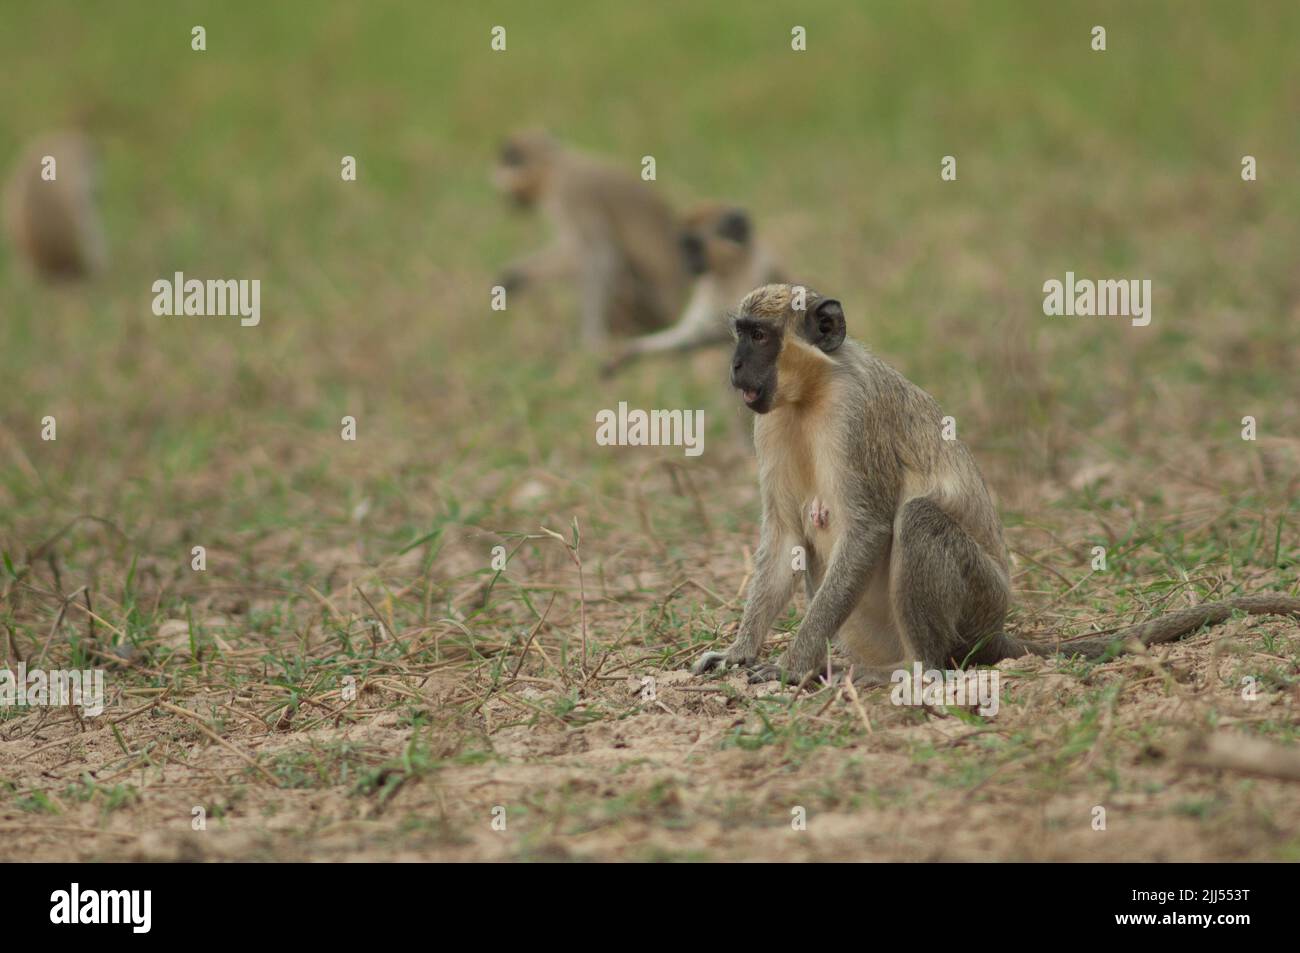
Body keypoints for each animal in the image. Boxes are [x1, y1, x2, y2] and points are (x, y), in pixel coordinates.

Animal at [493, 130, 688, 348]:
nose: (510, 206)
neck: (555, 167)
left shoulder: (571, 194)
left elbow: (601, 256)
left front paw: (591, 337)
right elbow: (572, 252)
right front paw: (518, 275)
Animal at [600, 203, 784, 376]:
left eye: (694, 246)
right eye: (685, 247)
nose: (687, 261)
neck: (728, 272)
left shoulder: (761, 274)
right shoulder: (705, 287)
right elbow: (690, 335)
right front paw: (628, 352)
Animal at [692, 283, 1300, 687]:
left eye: (760, 336)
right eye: (741, 334)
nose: (735, 368)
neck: (811, 395)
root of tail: (997, 628)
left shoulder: (854, 412)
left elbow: (865, 530)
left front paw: (790, 667)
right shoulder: (768, 422)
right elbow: (784, 539)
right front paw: (741, 655)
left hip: (979, 602)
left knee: (918, 521)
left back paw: (917, 669)